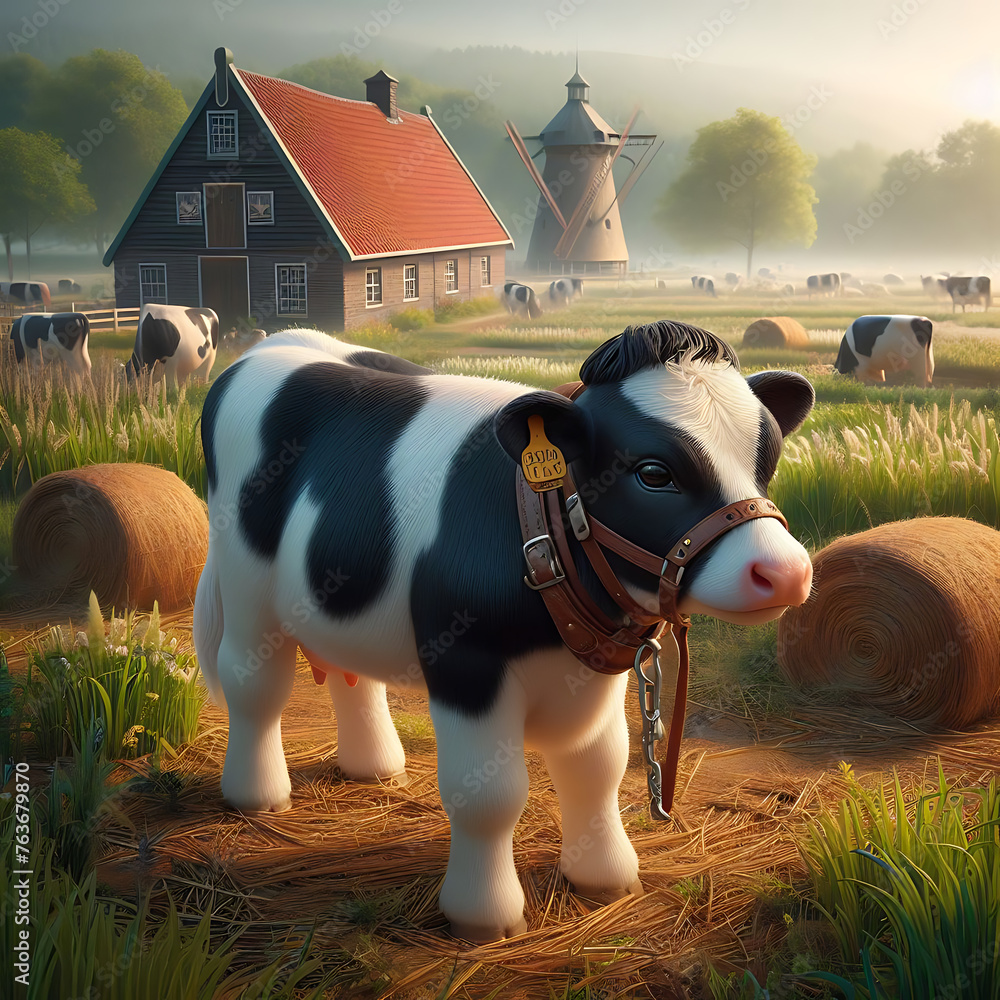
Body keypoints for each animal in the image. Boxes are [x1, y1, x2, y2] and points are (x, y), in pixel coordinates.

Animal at [193, 321, 816, 943]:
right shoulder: (467, 665)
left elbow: (598, 767)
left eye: (767, 460)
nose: (786, 572)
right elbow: (486, 795)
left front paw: (605, 876)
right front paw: (484, 914)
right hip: (245, 586)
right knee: (253, 684)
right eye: (654, 473)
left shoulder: (593, 671)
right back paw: (258, 794)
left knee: (353, 672)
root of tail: (272, 343)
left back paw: (374, 766)